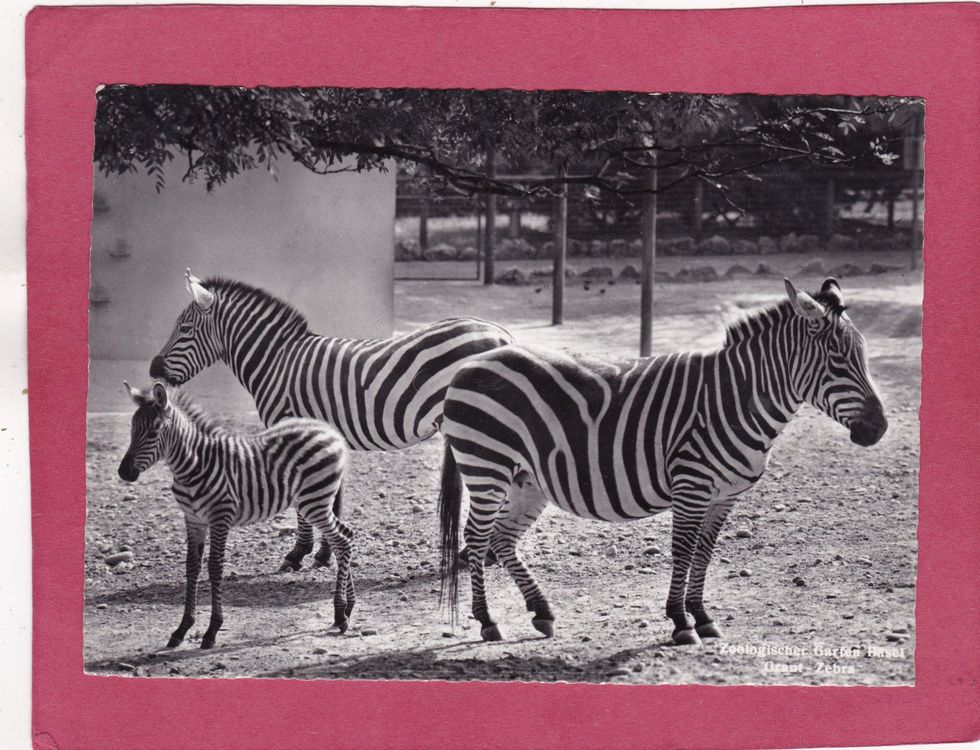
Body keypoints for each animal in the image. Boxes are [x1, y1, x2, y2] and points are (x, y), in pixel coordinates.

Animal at [117, 382, 352, 649]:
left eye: (154, 430)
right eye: (132, 428)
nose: (124, 472)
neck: (193, 464)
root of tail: (329, 430)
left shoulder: (220, 517)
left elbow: (215, 567)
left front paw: (211, 631)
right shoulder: (193, 520)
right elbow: (192, 566)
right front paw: (182, 629)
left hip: (314, 501)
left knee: (342, 541)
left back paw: (340, 613)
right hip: (314, 501)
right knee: (346, 535)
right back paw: (347, 610)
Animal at [150, 269, 514, 572]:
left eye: (184, 329)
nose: (154, 369)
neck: (276, 362)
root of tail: (501, 335)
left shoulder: (293, 427)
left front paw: (298, 554)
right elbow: (331, 497)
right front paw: (325, 554)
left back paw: (479, 553)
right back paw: (486, 552)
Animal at [438, 278, 887, 646]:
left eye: (864, 355)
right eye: (838, 361)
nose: (879, 429)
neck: (734, 399)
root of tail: (471, 363)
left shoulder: (724, 496)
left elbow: (704, 553)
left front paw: (702, 617)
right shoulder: (692, 486)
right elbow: (684, 551)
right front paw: (681, 623)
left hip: (526, 480)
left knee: (502, 539)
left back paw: (543, 613)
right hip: (487, 467)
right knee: (477, 538)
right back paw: (487, 622)